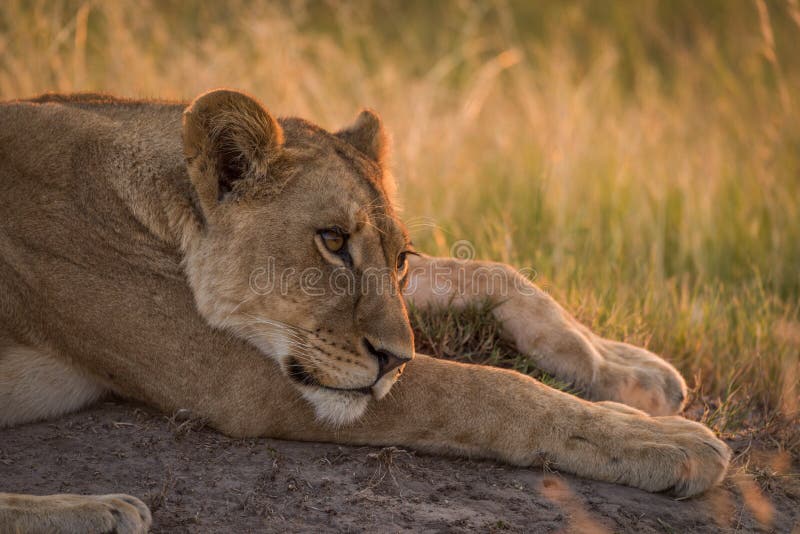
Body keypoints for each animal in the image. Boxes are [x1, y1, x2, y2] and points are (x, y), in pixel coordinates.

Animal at [0, 89, 730, 532]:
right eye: (330, 241)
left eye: (400, 257)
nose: (396, 361)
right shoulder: (232, 381)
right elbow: (490, 391)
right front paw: (665, 443)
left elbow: (494, 271)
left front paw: (632, 372)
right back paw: (100, 510)